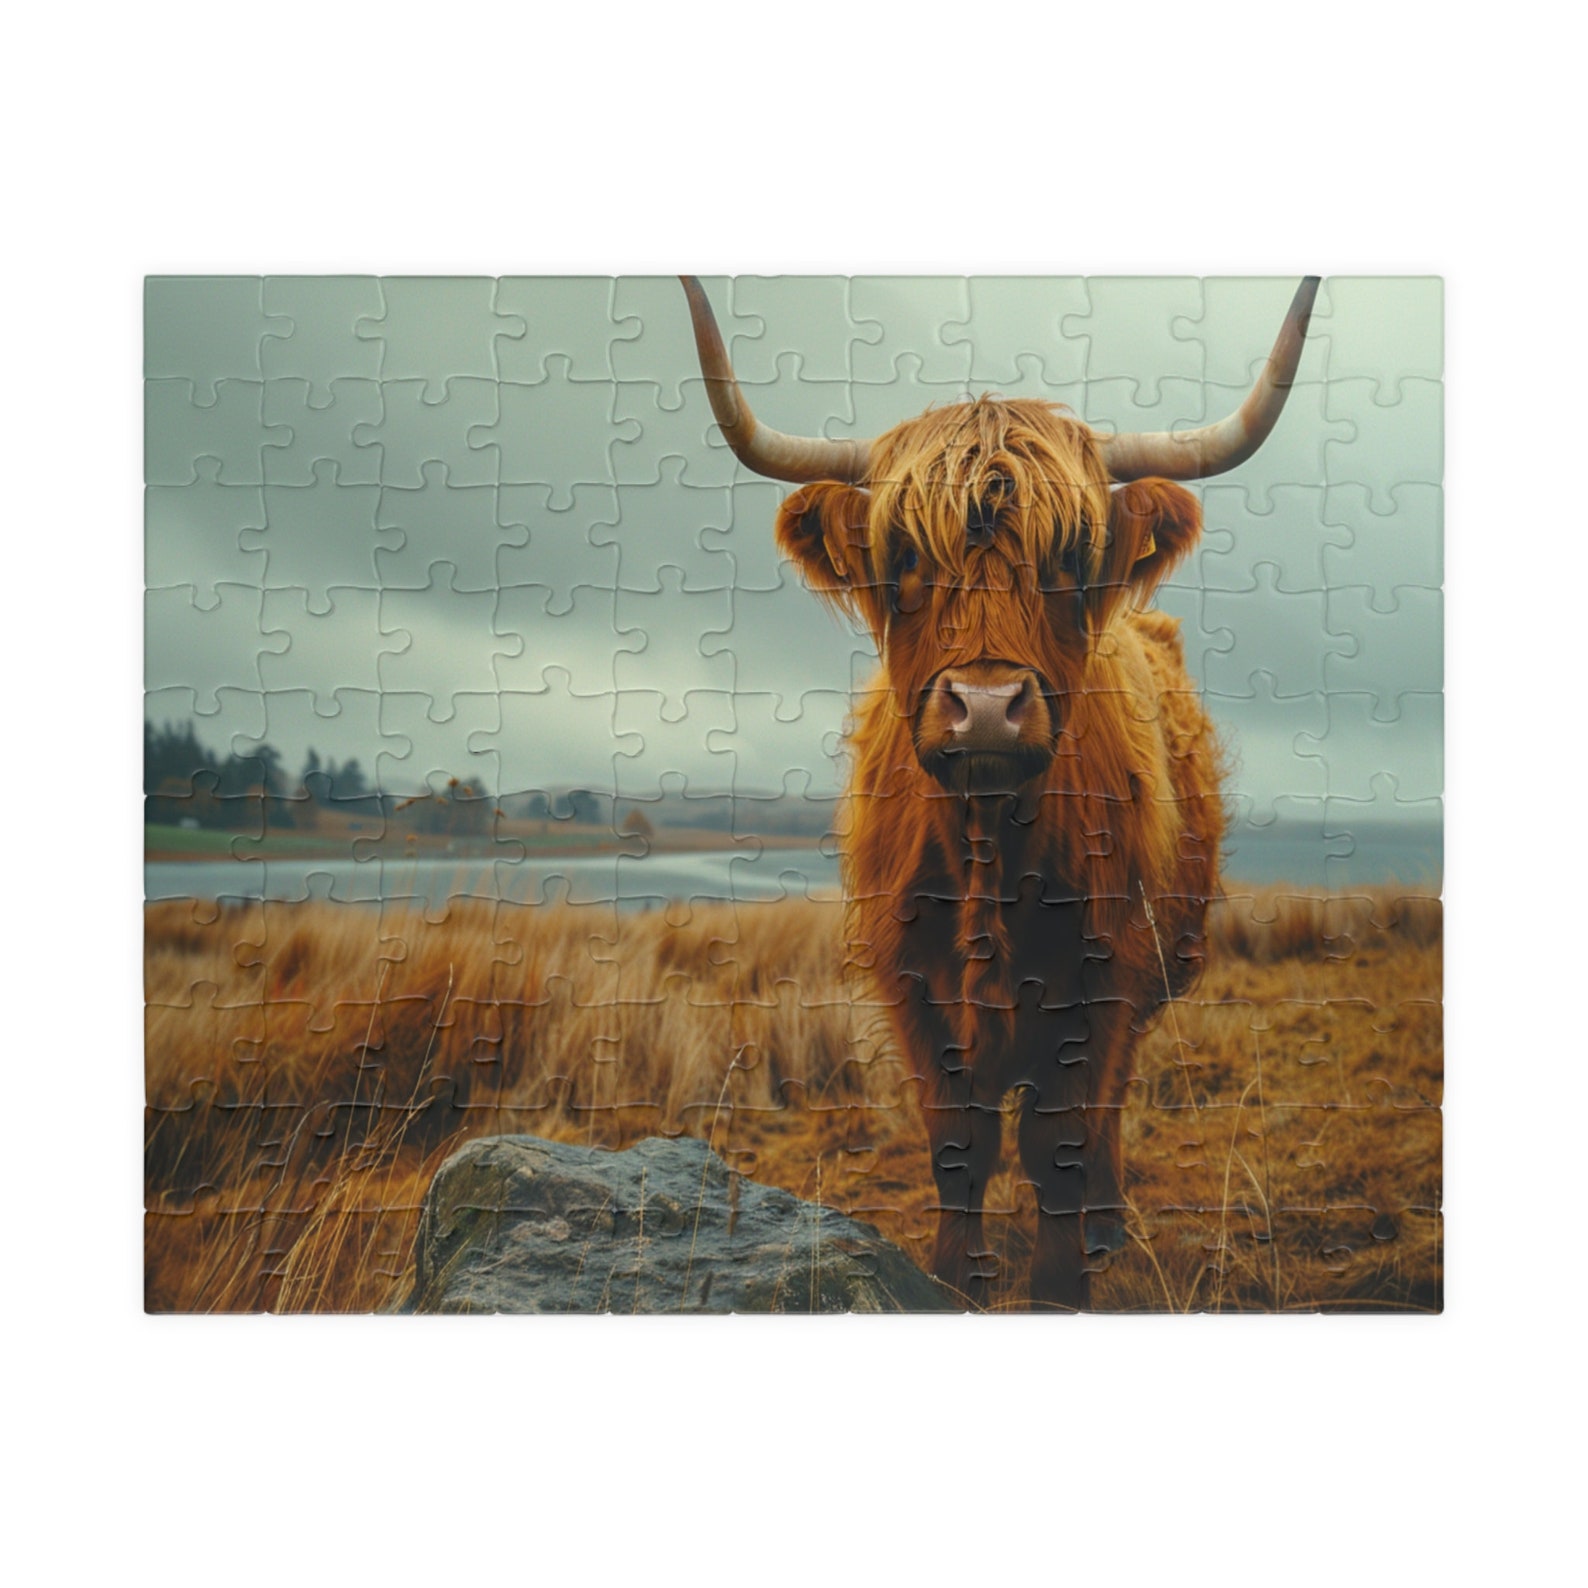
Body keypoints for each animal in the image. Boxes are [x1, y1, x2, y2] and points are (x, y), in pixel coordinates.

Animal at [678, 275, 1318, 1309]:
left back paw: (1104, 1225)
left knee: (1108, 1107)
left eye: (1072, 559)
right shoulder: (909, 984)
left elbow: (1061, 1138)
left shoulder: (1103, 978)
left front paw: (1060, 1282)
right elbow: (958, 1140)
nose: (984, 708)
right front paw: (953, 1275)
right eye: (901, 560)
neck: (990, 857)